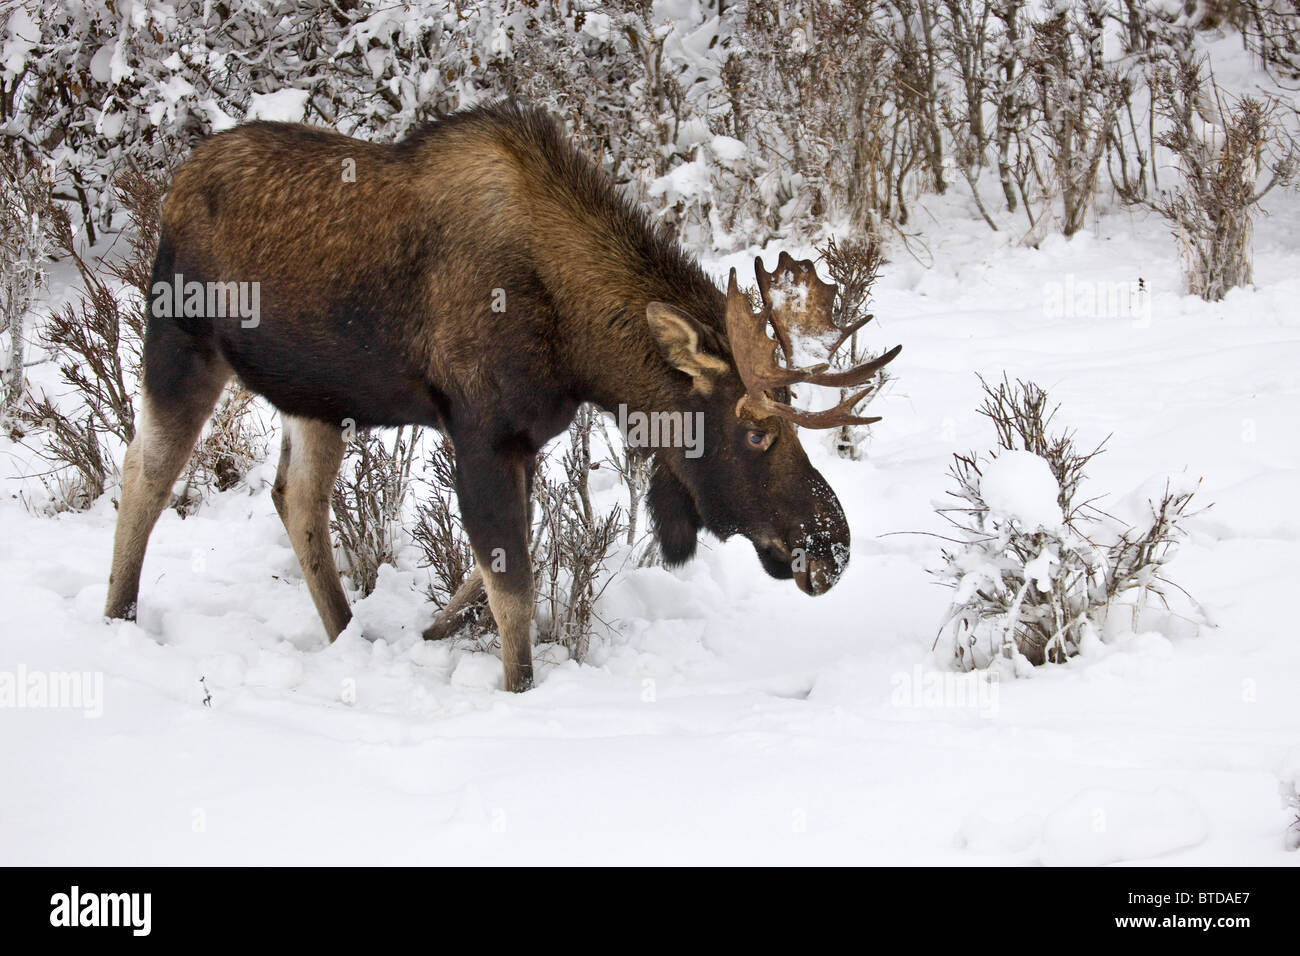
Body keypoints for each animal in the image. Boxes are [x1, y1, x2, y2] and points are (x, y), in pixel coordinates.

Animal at [103, 100, 900, 692]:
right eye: (759, 434)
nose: (833, 547)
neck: (579, 348)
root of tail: (173, 189)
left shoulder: (526, 438)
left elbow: (498, 568)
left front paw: (433, 629)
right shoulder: (480, 431)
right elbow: (513, 588)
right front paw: (517, 691)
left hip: (316, 396)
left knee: (295, 498)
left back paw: (345, 634)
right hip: (180, 344)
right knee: (146, 471)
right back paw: (118, 618)